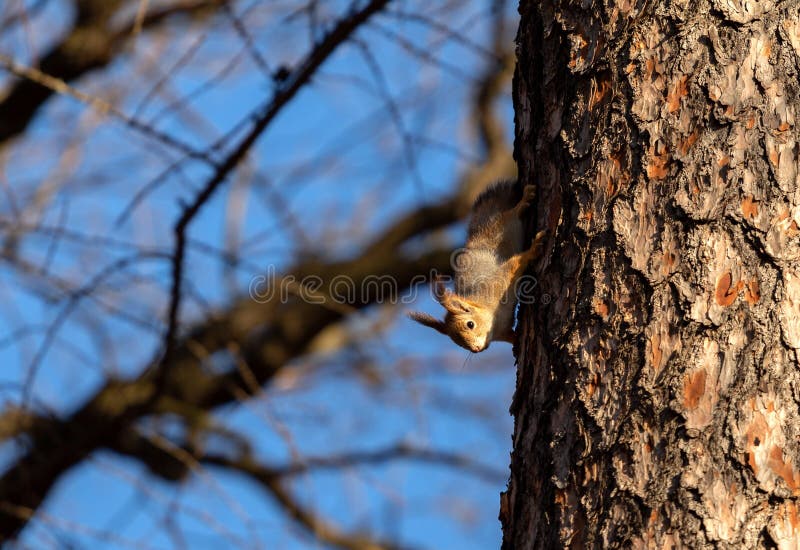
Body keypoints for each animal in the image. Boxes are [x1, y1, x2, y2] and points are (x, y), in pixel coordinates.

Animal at [409, 180, 545, 353]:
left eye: (470, 324)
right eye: (458, 343)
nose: (475, 349)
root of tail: (477, 232)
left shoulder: (498, 282)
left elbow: (515, 262)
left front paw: (534, 248)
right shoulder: (502, 332)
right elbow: (511, 336)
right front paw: (516, 342)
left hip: (502, 227)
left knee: (511, 214)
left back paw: (525, 199)